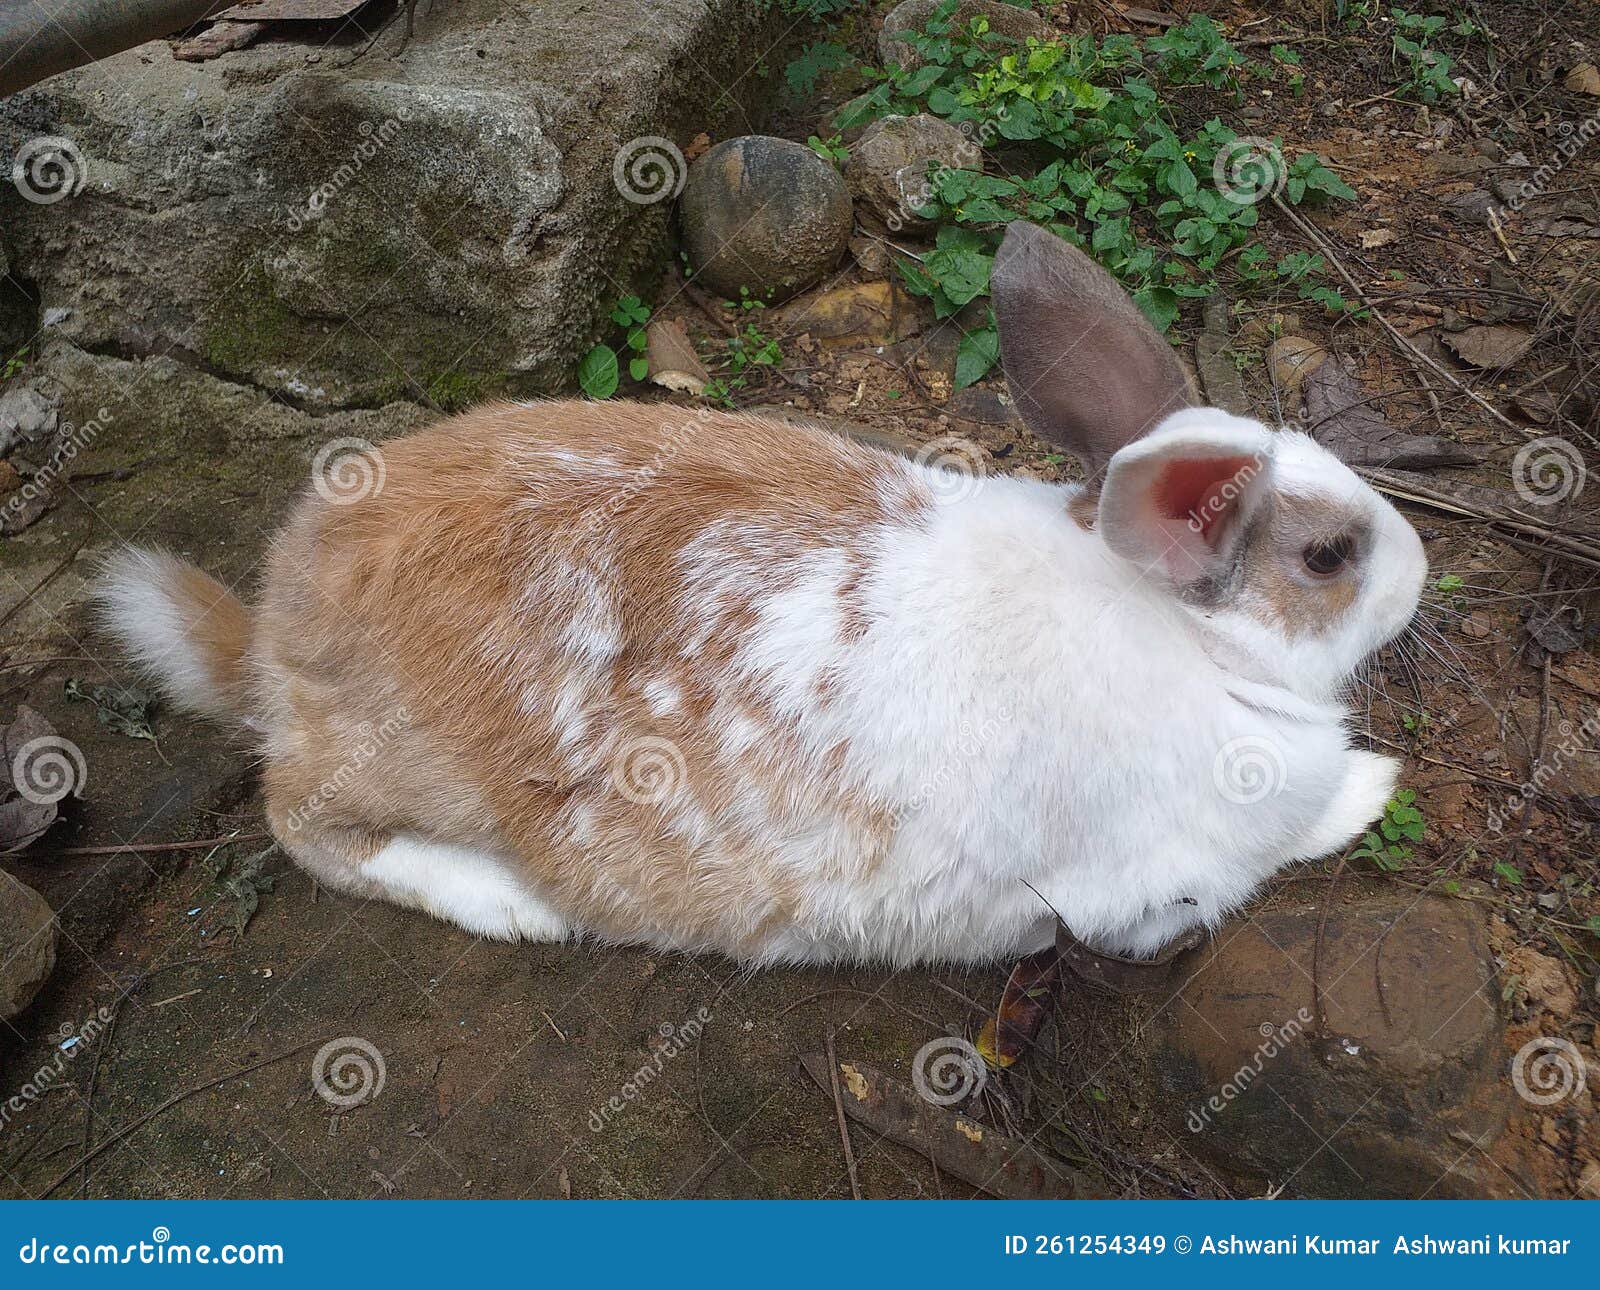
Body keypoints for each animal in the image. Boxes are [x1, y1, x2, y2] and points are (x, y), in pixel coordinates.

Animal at [93, 221, 1426, 967]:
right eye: (1327, 558)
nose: (1418, 571)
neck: (1188, 637)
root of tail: (275, 627)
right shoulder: (1146, 881)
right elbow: (1276, 847)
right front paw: (1372, 787)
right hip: (396, 769)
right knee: (302, 821)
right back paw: (512, 907)